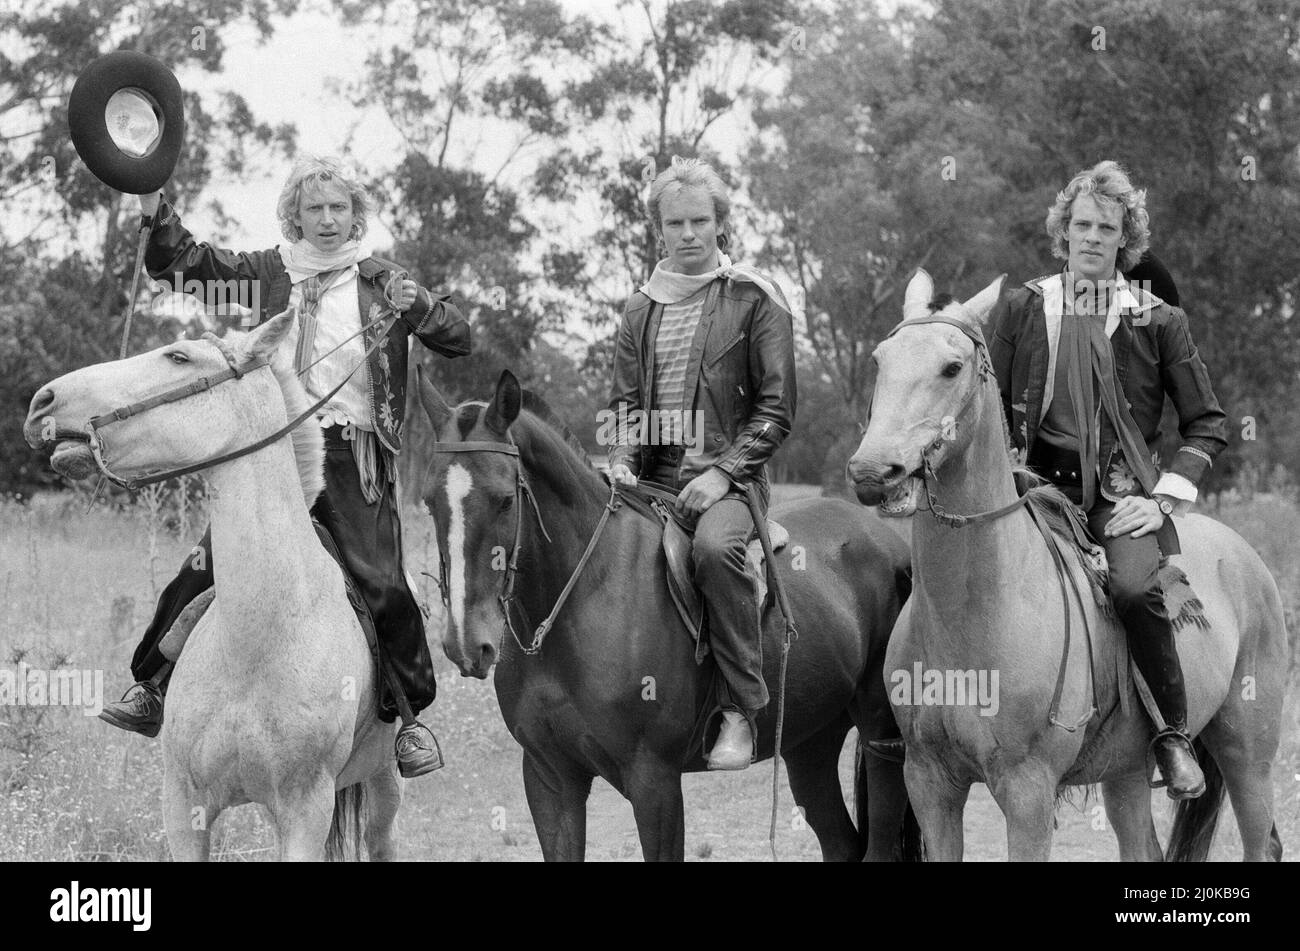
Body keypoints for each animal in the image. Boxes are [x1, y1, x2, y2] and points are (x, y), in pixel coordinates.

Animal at [23, 308, 402, 861]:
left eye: (179, 357)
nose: (43, 402)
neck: (256, 644)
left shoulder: (306, 812)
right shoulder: (184, 804)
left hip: (385, 784)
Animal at [414, 367, 917, 861]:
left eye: (504, 499)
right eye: (429, 501)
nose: (465, 644)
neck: (583, 598)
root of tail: (889, 543)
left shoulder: (653, 780)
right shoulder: (548, 778)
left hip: (879, 734)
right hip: (811, 740)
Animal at [847, 269, 1287, 861]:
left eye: (951, 367)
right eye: (881, 359)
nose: (874, 472)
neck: (978, 612)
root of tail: (1244, 557)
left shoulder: (1026, 791)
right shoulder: (929, 782)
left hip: (1248, 753)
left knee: (1259, 837)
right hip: (1127, 772)